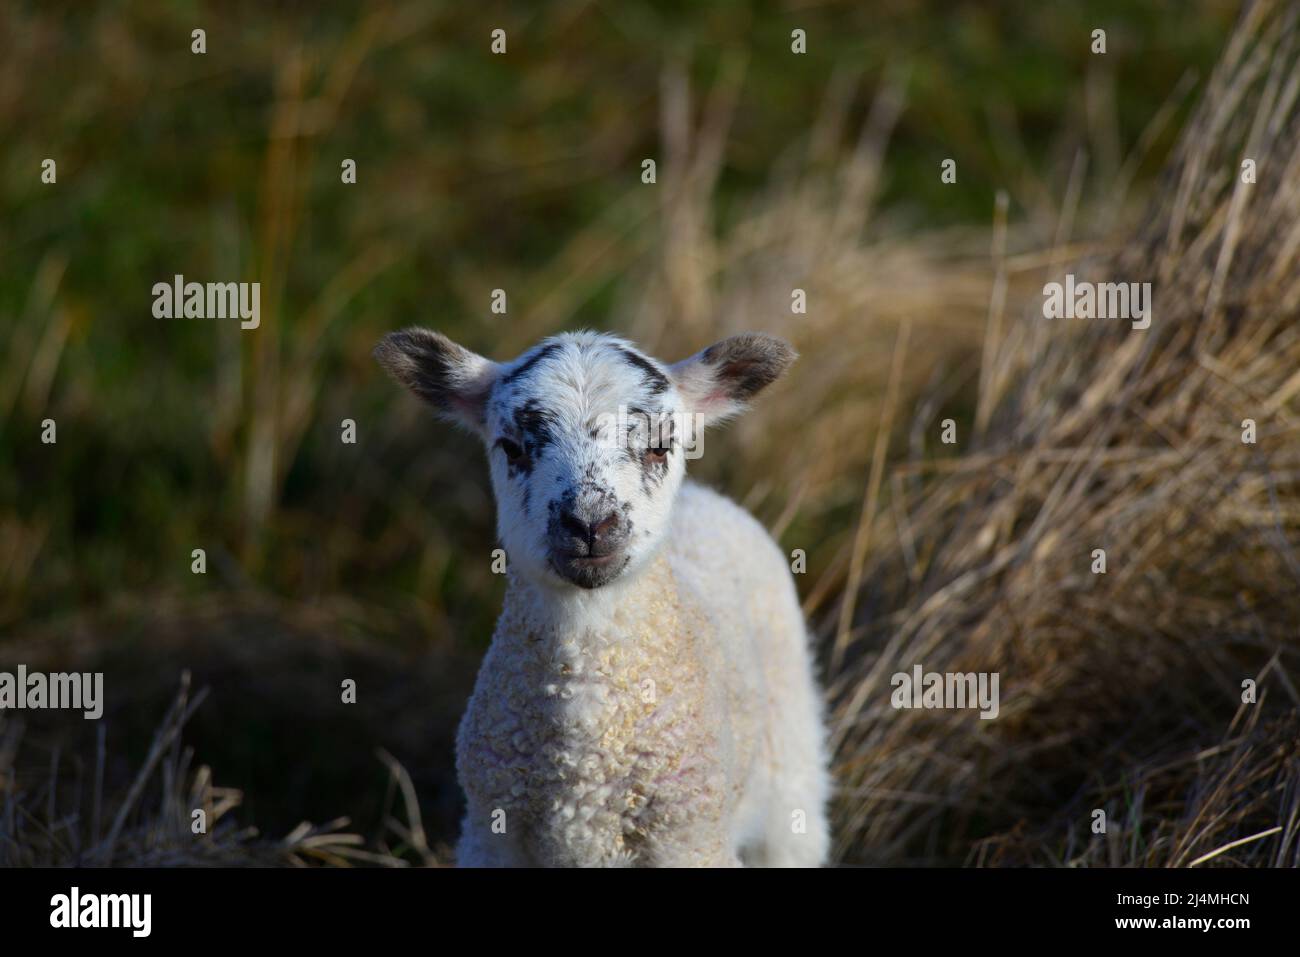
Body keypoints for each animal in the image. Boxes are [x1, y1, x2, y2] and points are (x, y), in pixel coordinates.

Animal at [375, 327, 831, 867]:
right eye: (512, 447)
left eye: (660, 445)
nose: (590, 524)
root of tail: (706, 496)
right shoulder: (492, 834)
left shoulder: (687, 837)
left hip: (790, 776)